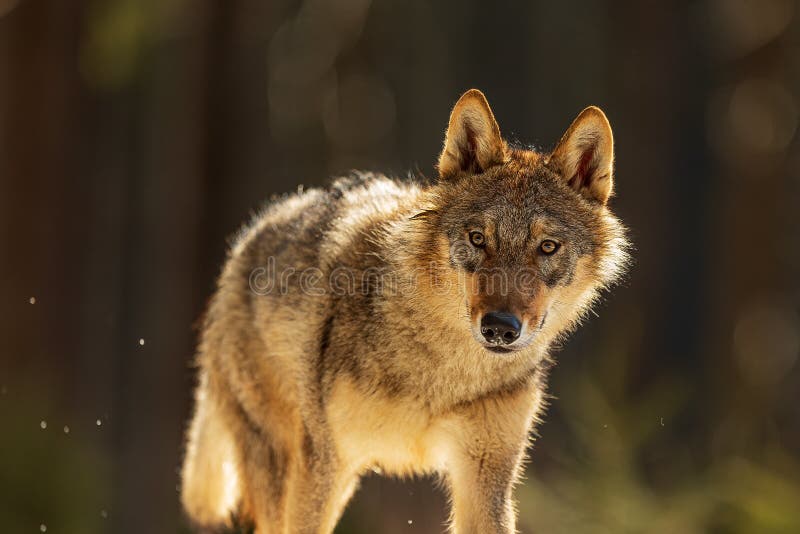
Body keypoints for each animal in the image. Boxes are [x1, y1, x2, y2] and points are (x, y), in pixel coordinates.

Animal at [181, 89, 629, 533]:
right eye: (478, 238)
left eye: (547, 247)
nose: (500, 328)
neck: (443, 373)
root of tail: (246, 240)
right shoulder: (323, 464)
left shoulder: (486, 478)